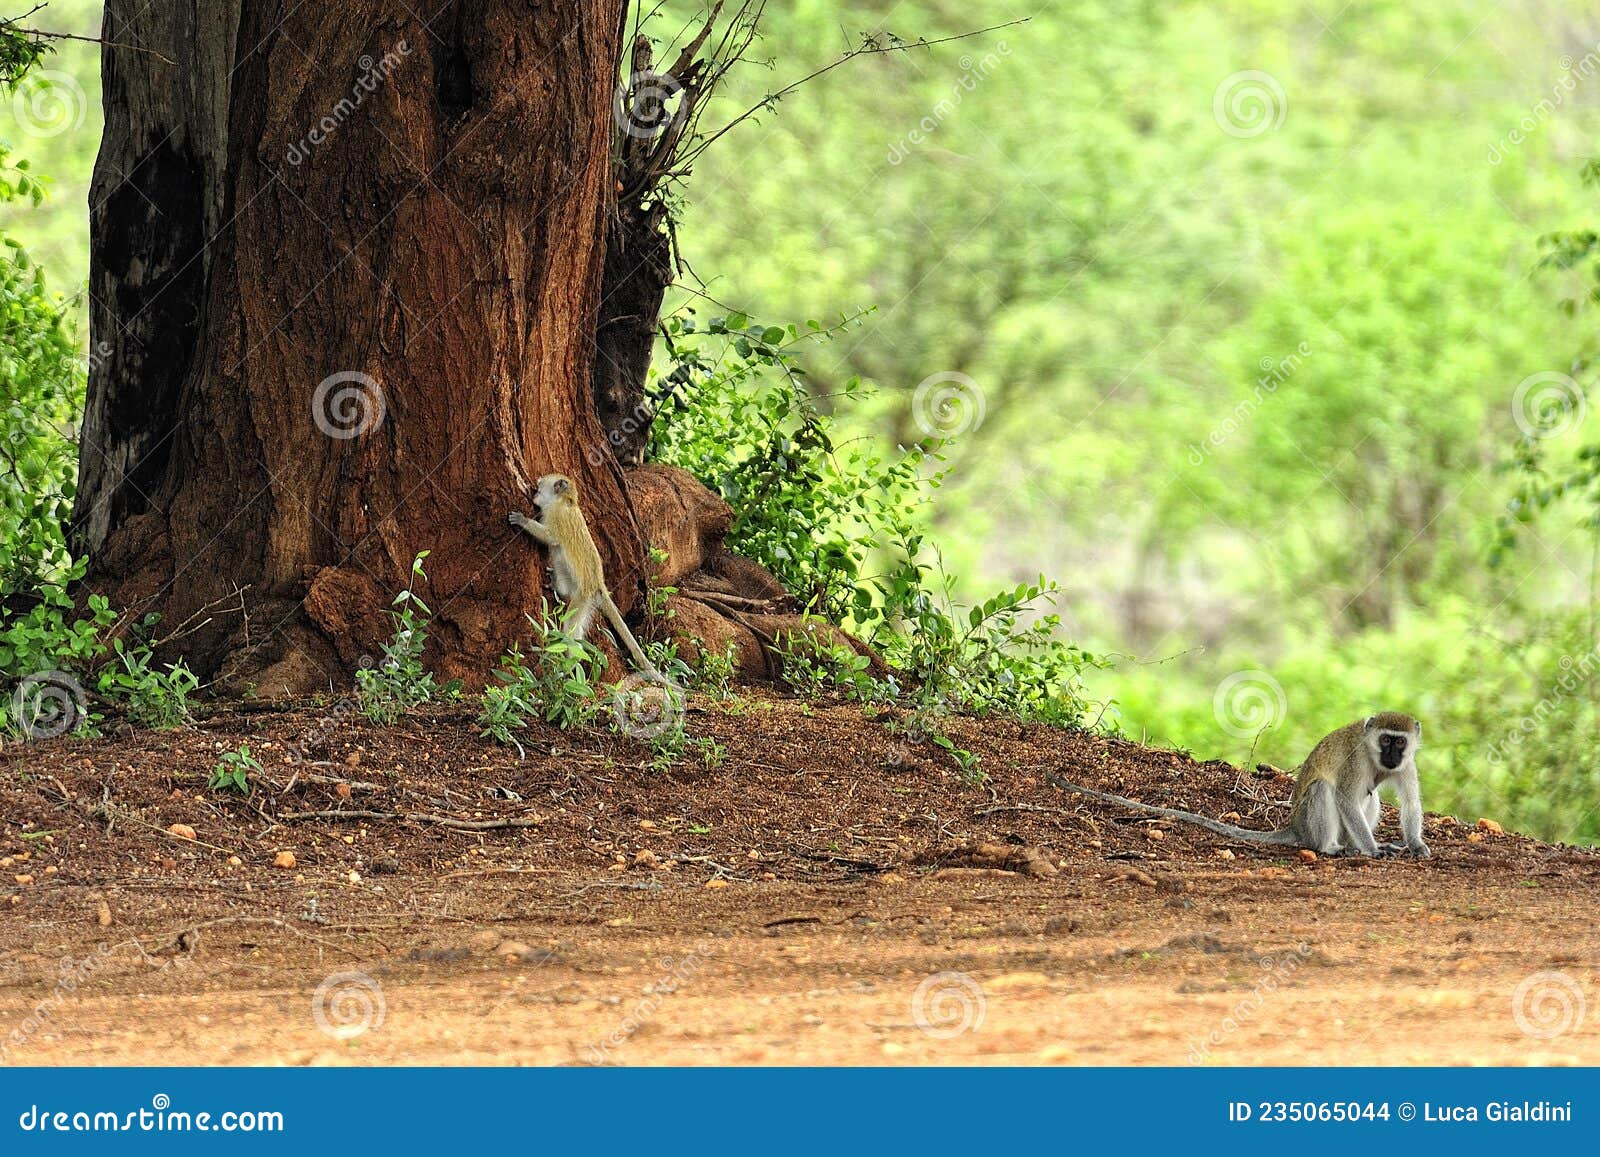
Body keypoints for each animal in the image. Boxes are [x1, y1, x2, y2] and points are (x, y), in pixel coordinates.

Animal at [507, 473, 670, 686]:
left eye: (540, 487)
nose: (534, 493)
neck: (565, 501)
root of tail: (598, 584)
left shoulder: (557, 516)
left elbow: (551, 537)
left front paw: (522, 520)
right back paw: (557, 586)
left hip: (583, 598)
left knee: (571, 626)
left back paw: (569, 665)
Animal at [1047, 712, 1431, 858]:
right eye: (1385, 740)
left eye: (1400, 742)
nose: (1392, 755)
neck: (1374, 757)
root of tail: (1295, 827)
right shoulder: (1355, 759)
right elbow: (1346, 799)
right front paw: (1374, 850)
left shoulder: (1407, 764)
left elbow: (1410, 804)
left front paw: (1414, 844)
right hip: (1309, 822)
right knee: (1325, 791)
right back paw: (1331, 847)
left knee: (1372, 796)